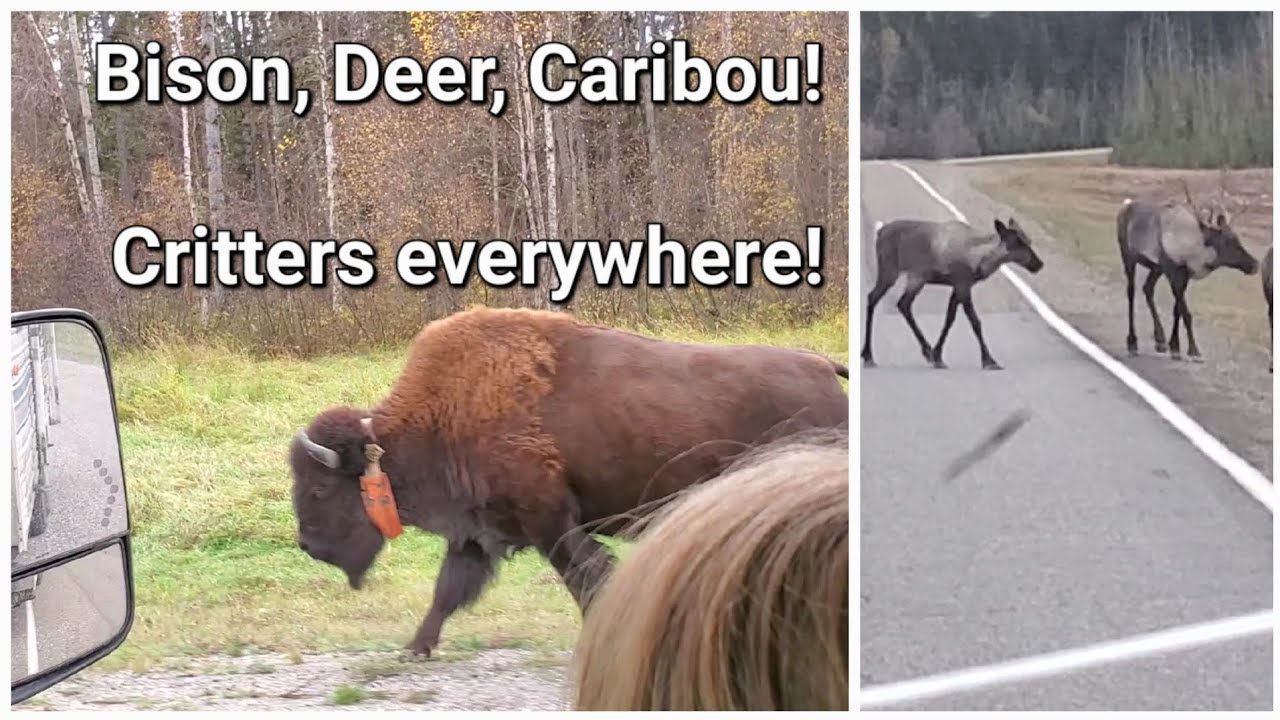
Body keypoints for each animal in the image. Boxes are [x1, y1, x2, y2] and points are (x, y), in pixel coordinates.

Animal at [289, 306, 849, 657]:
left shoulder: (551, 524)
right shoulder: (474, 534)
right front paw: (415, 648)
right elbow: (446, 592)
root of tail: (822, 367)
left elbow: (586, 579)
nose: (309, 547)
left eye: (320, 489)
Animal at [861, 216, 1044, 371]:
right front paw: (989, 360)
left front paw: (938, 356)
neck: (980, 261)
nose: (1039, 264)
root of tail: (879, 232)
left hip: (914, 277)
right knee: (878, 298)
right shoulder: (963, 285)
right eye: (1019, 242)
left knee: (901, 303)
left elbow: (949, 319)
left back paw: (924, 351)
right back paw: (869, 355)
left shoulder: (958, 287)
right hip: (893, 271)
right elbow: (975, 322)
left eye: (1029, 241)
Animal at [1116, 181, 1260, 362]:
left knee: (1147, 289)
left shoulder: (1183, 276)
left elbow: (1178, 310)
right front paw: (1189, 349)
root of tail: (1124, 207)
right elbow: (1185, 311)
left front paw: (1178, 347)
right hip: (1128, 256)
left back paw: (1160, 340)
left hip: (1156, 268)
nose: (1255, 264)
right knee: (1131, 292)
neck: (1193, 249)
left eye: (1238, 239)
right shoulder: (1173, 272)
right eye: (1228, 242)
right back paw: (1132, 343)